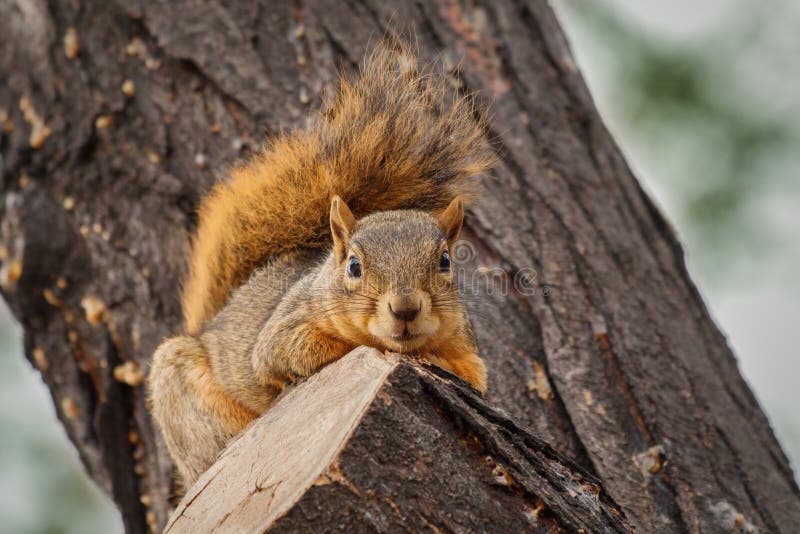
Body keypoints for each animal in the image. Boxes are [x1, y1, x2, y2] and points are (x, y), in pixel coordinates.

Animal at [147, 39, 495, 489]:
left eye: (445, 261)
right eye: (354, 266)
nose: (405, 309)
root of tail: (212, 321)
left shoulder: (466, 347)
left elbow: (473, 373)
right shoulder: (284, 329)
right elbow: (287, 352)